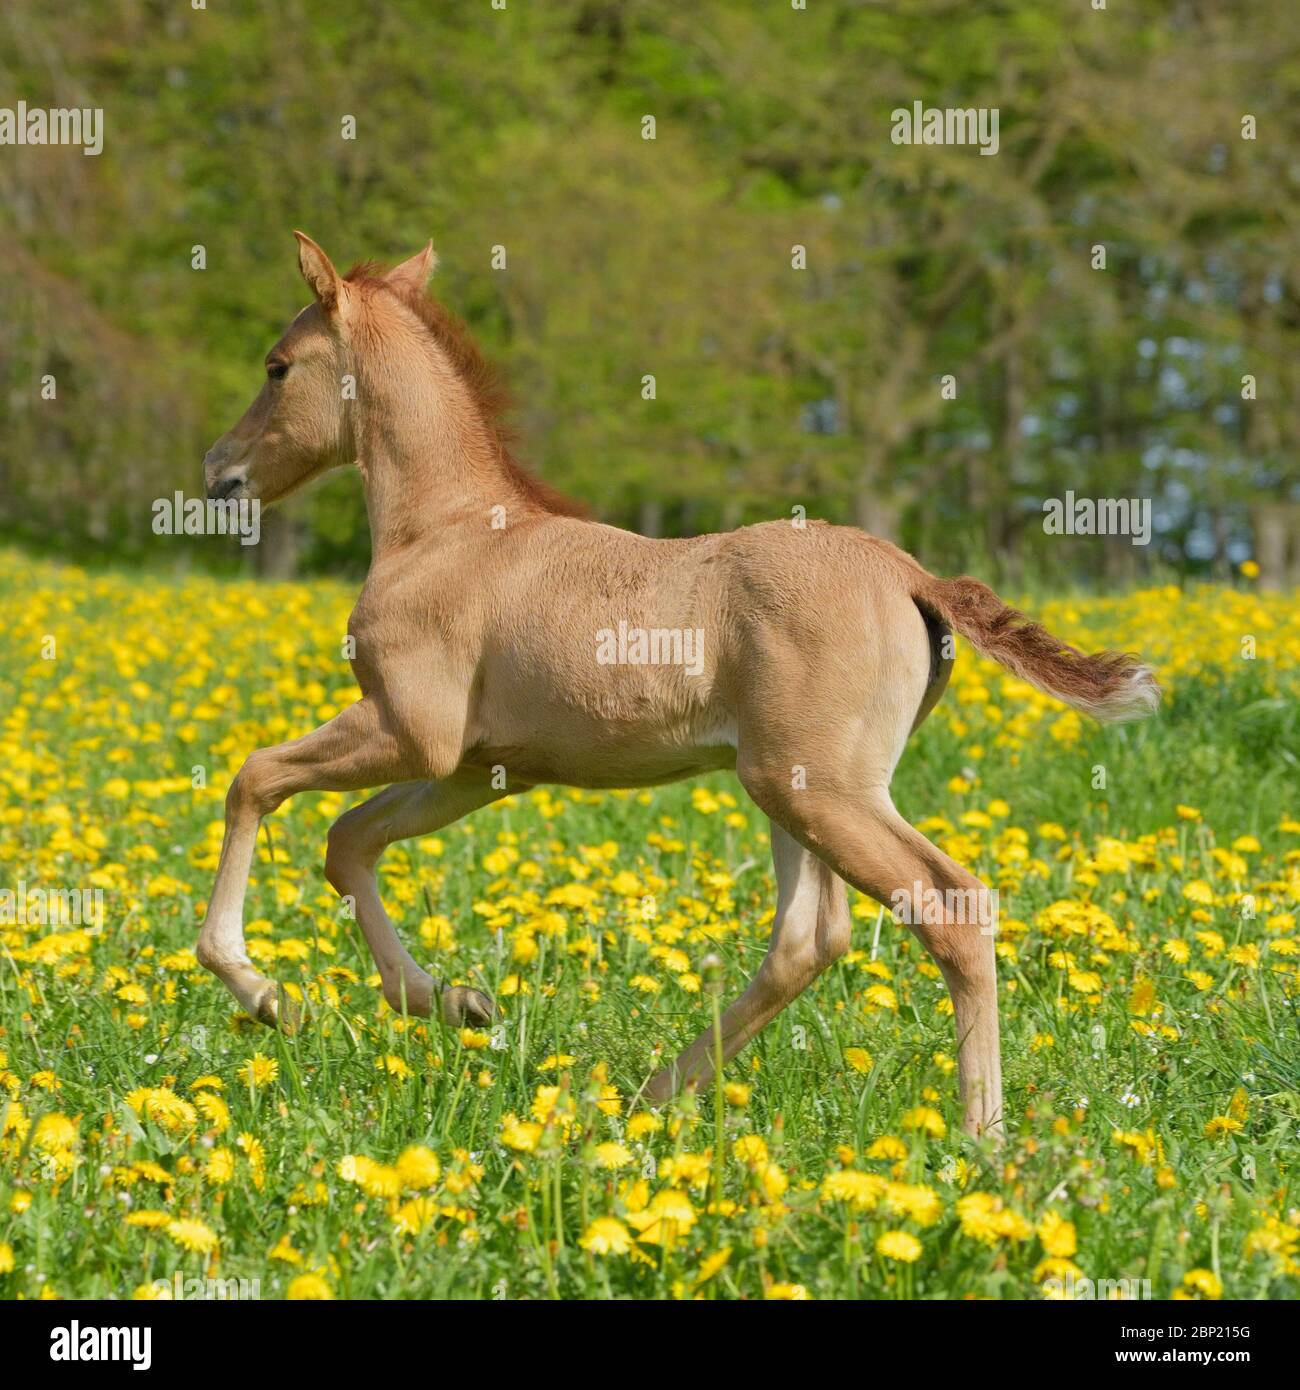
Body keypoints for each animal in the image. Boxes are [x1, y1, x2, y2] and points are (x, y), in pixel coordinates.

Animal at [198, 233, 1159, 1138]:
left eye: (277, 366)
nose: (219, 474)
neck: (448, 532)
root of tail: (911, 574)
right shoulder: (478, 771)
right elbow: (349, 842)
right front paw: (459, 1003)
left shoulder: (407, 731)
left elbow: (255, 779)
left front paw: (266, 994)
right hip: (794, 790)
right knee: (808, 939)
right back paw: (648, 1097)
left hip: (821, 792)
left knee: (951, 910)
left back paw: (980, 1139)